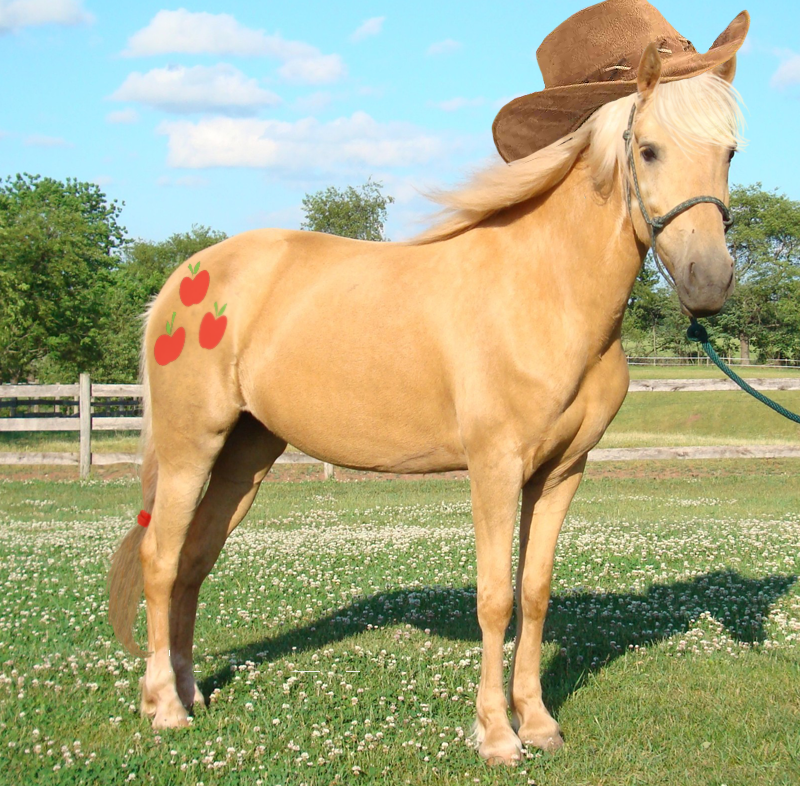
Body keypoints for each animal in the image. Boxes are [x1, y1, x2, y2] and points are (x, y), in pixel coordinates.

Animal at [108, 45, 744, 765]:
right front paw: (496, 735)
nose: (708, 281)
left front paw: (539, 723)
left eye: (729, 152)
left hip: (244, 456)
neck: (545, 291)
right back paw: (165, 709)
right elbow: (495, 598)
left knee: (193, 563)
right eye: (648, 149)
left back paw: (189, 694)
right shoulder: (495, 468)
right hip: (191, 449)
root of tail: (183, 280)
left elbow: (534, 593)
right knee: (161, 562)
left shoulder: (561, 473)